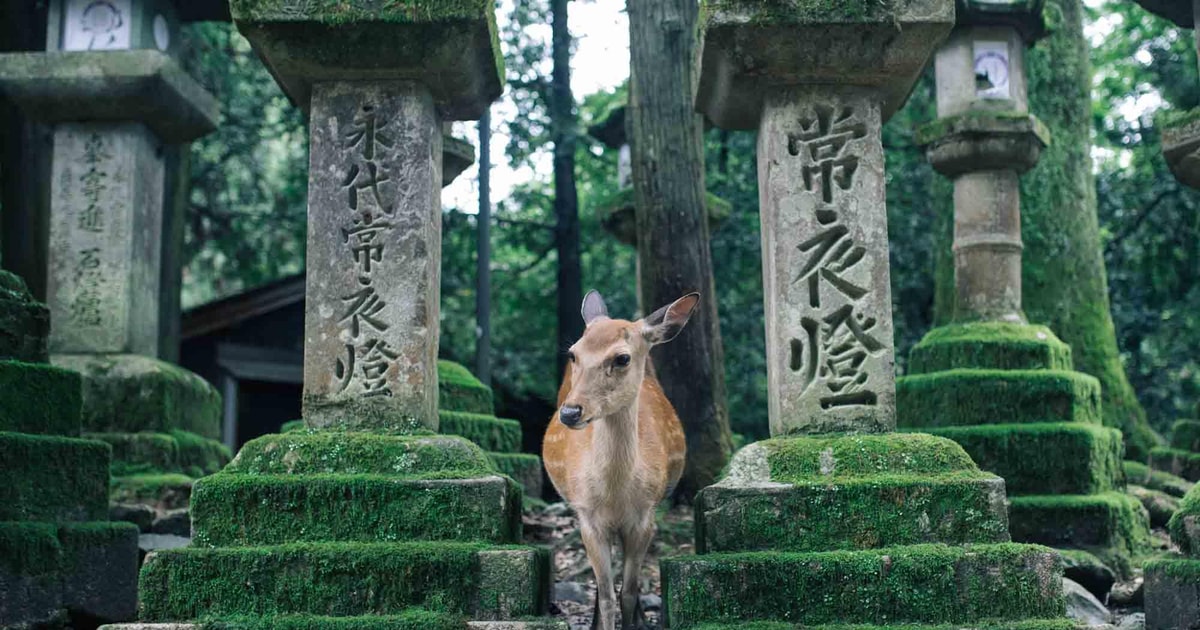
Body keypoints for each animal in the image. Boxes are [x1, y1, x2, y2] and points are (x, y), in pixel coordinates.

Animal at [542, 290, 695, 630]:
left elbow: (628, 591)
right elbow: (607, 595)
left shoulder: (644, 516)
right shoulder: (587, 516)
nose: (569, 413)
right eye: (573, 354)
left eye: (622, 358)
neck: (614, 494)